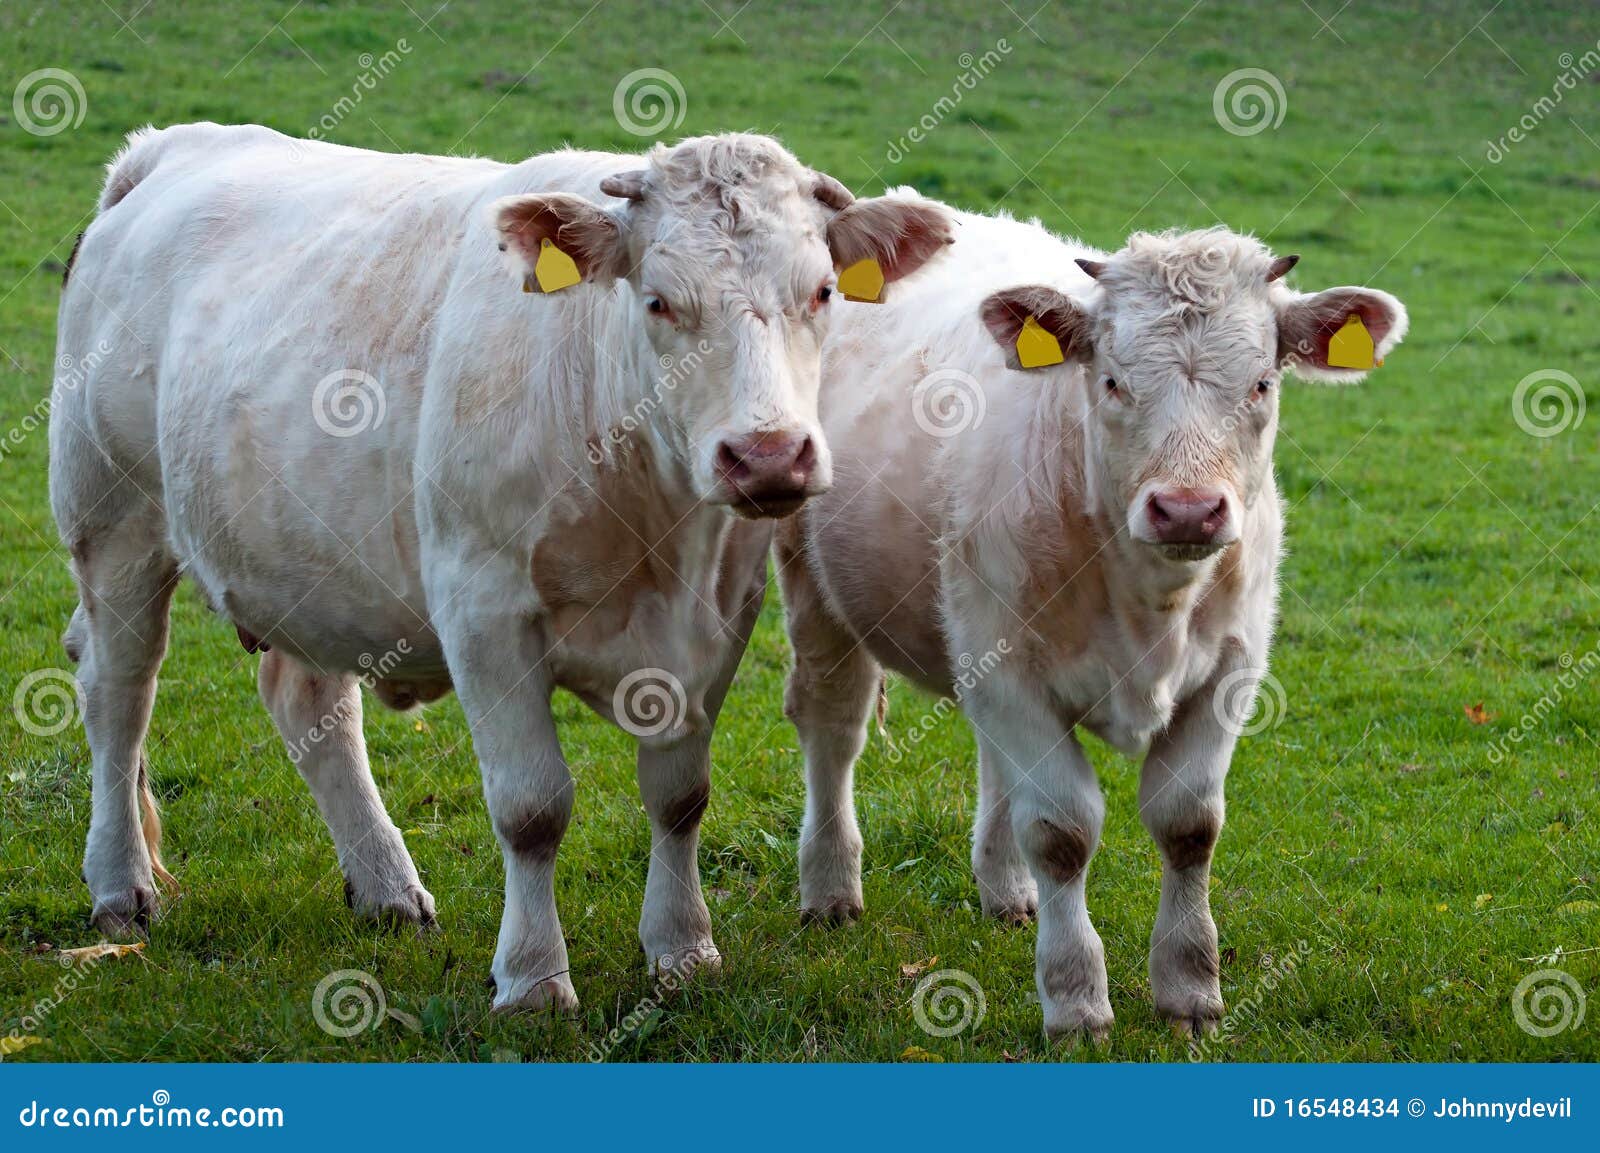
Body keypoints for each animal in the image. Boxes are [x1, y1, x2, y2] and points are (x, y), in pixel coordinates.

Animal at [49, 123, 953, 1013]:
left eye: (824, 292)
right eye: (659, 300)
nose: (767, 456)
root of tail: (171, 146)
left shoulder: (717, 616)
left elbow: (679, 796)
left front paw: (682, 947)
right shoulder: (484, 612)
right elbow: (531, 806)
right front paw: (532, 976)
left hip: (306, 561)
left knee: (310, 706)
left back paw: (386, 887)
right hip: (115, 524)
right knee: (118, 693)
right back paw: (120, 885)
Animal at [777, 194, 1407, 1039]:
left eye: (1263, 383)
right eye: (1111, 381)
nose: (1188, 509)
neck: (1151, 603)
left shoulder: (1228, 672)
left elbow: (1188, 823)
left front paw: (1190, 986)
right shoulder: (1010, 667)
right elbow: (1063, 830)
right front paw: (1076, 998)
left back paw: (1007, 891)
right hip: (814, 582)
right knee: (833, 728)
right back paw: (831, 888)